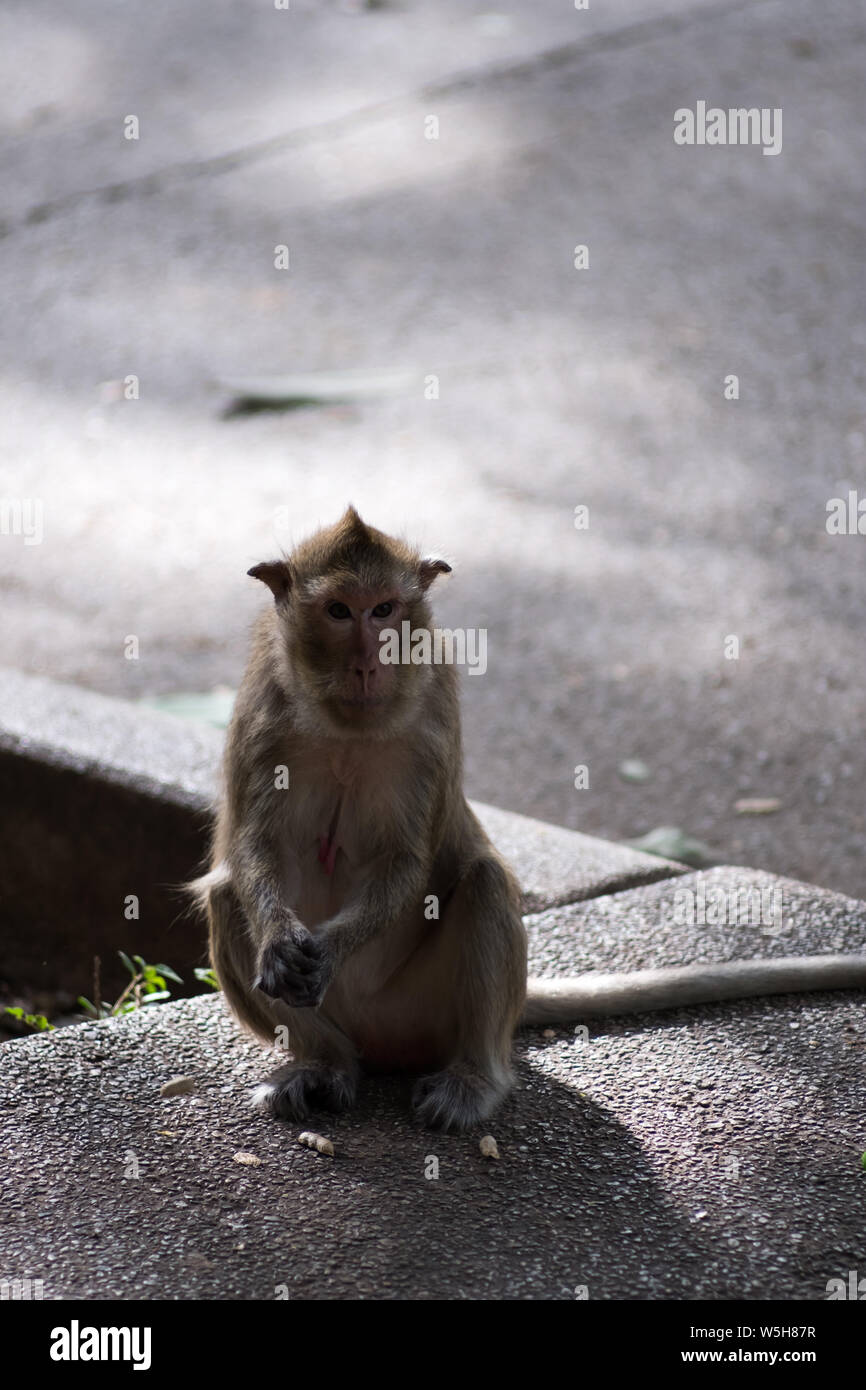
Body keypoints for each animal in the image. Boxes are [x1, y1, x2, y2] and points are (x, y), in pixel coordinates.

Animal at [193, 507, 866, 1132]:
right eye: (339, 611)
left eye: (383, 609)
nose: (367, 663)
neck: (345, 726)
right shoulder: (263, 707)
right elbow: (255, 847)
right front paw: (282, 945)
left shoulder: (436, 707)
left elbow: (407, 860)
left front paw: (327, 951)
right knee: (228, 896)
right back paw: (323, 1065)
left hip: (423, 1011)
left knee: (486, 884)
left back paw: (474, 1079)